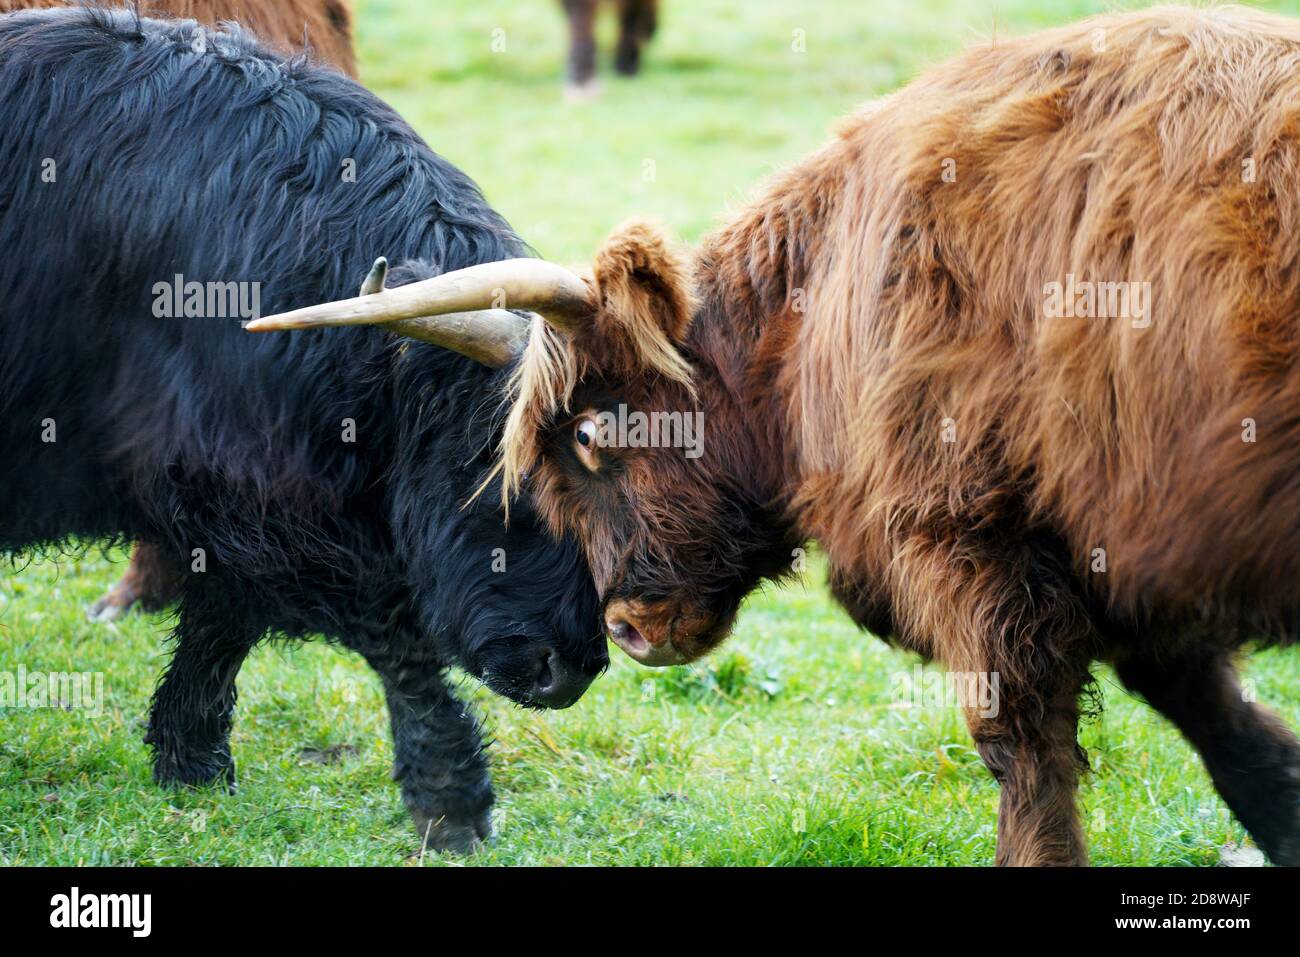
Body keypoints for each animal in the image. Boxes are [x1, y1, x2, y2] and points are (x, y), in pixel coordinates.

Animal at [0, 6, 607, 853]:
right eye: (506, 473)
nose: (572, 667)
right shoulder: (246, 490)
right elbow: (392, 628)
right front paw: (452, 798)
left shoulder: (241, 493)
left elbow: (224, 622)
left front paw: (191, 760)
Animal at [251, 5, 1300, 865]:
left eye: (591, 436)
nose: (624, 630)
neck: (824, 298)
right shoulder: (1118, 547)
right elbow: (1218, 719)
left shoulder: (972, 540)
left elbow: (1027, 752)